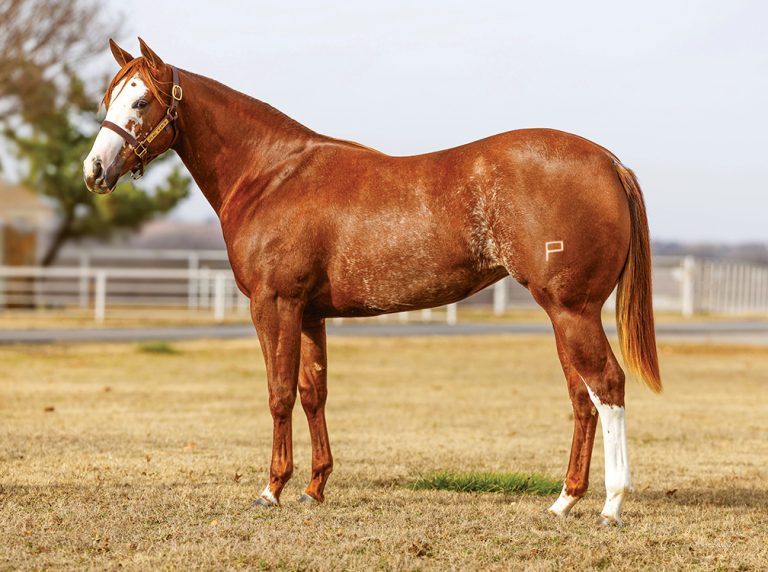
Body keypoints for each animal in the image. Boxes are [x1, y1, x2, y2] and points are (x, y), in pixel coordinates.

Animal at [84, 38, 661, 526]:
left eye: (140, 102)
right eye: (108, 99)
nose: (93, 171)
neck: (272, 175)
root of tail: (608, 163)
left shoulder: (275, 305)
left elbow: (278, 393)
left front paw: (272, 489)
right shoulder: (310, 313)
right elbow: (312, 393)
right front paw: (313, 488)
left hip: (572, 310)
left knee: (607, 385)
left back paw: (612, 504)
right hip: (563, 315)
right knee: (583, 397)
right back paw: (565, 500)